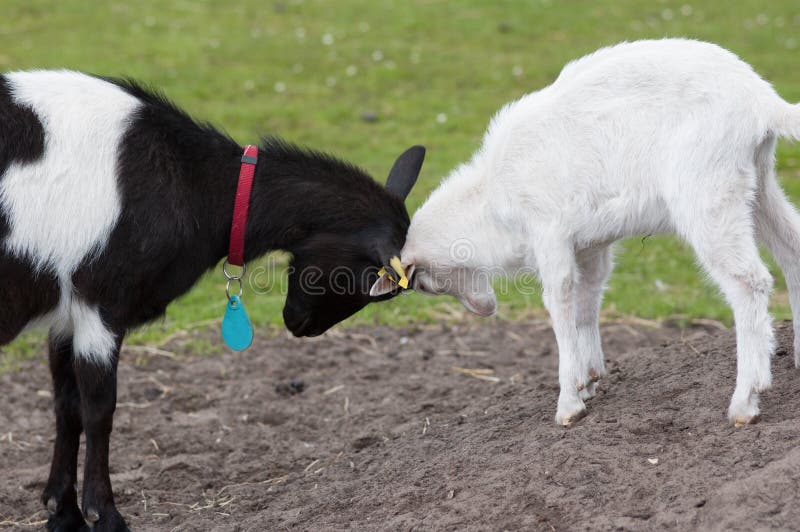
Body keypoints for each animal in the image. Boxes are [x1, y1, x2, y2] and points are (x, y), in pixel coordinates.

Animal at [0, 69, 424, 531]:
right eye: (368, 281)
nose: (300, 324)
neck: (201, 185)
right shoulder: (101, 302)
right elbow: (99, 409)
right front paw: (104, 514)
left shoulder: (67, 313)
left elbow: (67, 406)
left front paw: (61, 511)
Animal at [375, 39, 800, 427]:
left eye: (424, 284)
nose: (485, 310)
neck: (492, 202)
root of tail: (762, 102)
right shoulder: (590, 244)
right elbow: (587, 299)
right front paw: (589, 379)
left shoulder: (548, 233)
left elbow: (561, 302)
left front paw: (569, 404)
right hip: (757, 180)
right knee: (791, 248)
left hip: (708, 191)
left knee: (749, 281)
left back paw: (746, 400)